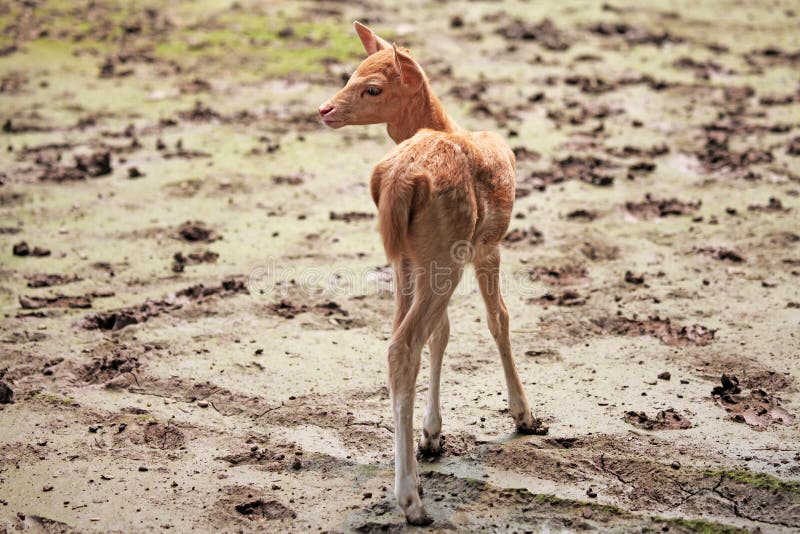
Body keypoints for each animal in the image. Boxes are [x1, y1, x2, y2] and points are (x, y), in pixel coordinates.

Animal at [318, 21, 547, 525]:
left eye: (369, 84)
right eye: (351, 75)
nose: (324, 109)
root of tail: (400, 181)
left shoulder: (422, 259)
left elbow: (442, 335)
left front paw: (433, 436)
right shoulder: (487, 246)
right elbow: (499, 318)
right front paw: (524, 416)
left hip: (410, 257)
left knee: (404, 339)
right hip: (447, 249)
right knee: (404, 344)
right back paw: (412, 501)